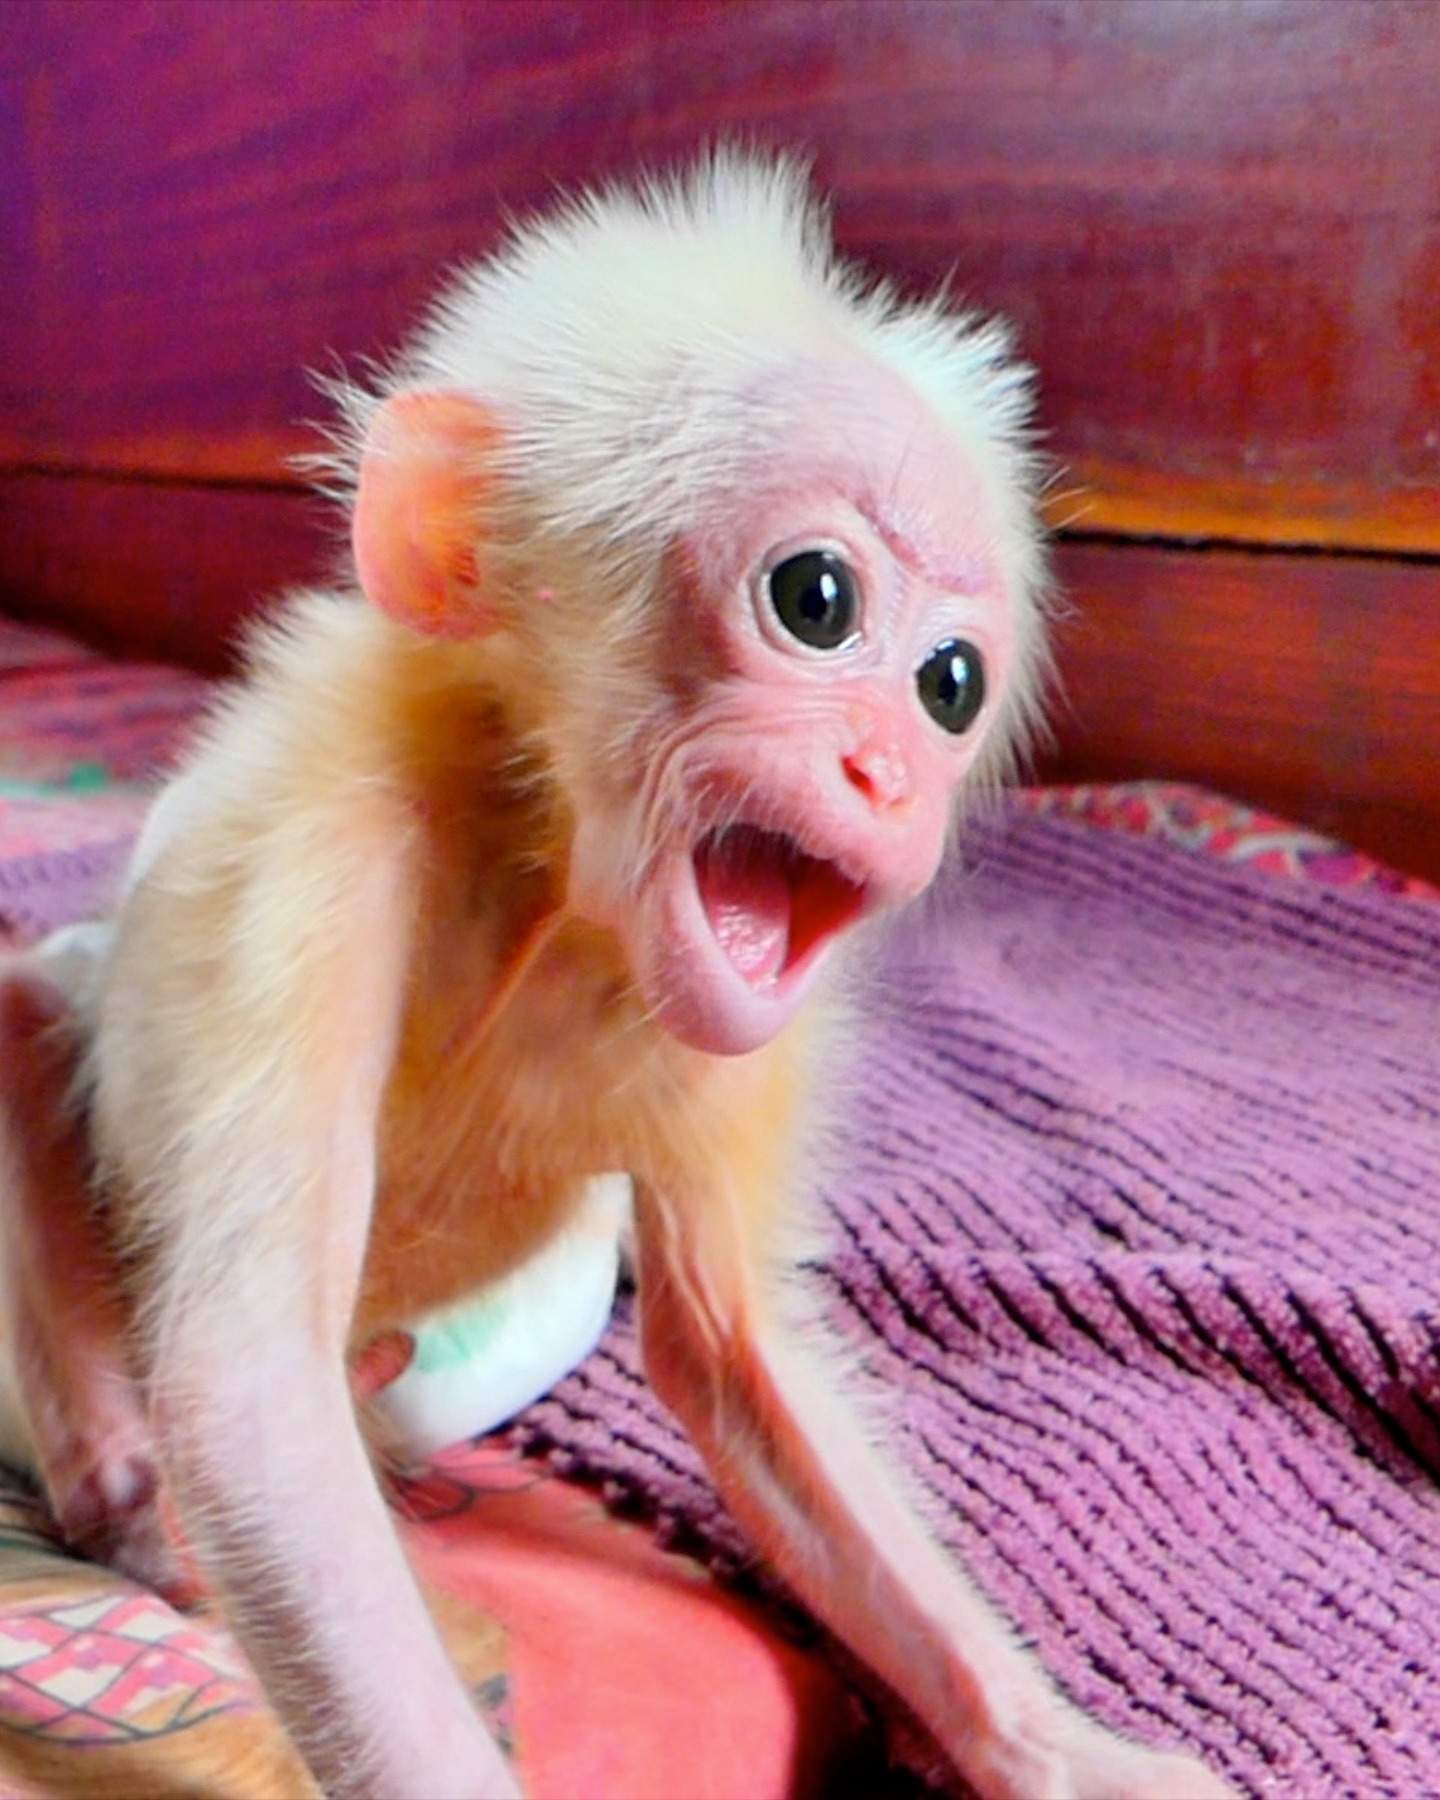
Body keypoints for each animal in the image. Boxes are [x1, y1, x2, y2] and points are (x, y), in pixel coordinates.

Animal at [0, 157, 1233, 1800]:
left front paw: (1054, 1746)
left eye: (952, 686)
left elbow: (732, 1354)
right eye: (817, 598)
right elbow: (251, 1394)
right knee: (31, 1002)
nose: (890, 776)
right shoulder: (322, 855)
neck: (557, 888)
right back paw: (112, 1476)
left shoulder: (759, 1024)